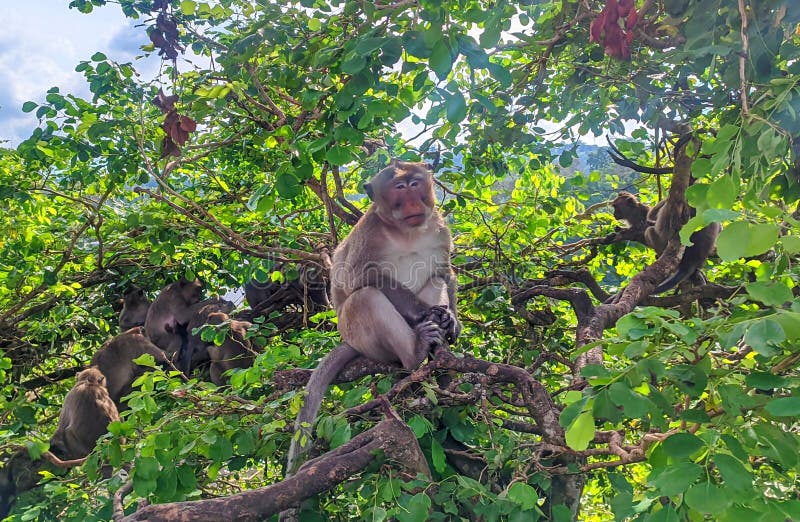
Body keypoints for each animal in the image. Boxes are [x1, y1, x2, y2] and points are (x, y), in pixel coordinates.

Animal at [283, 160, 460, 480]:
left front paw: (452, 320)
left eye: (415, 183)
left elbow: (444, 271)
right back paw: (415, 352)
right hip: (359, 335)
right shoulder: (369, 234)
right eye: (399, 188)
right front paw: (428, 313)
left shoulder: (439, 229)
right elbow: (361, 278)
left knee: (434, 278)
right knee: (364, 298)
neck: (407, 232)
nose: (413, 201)